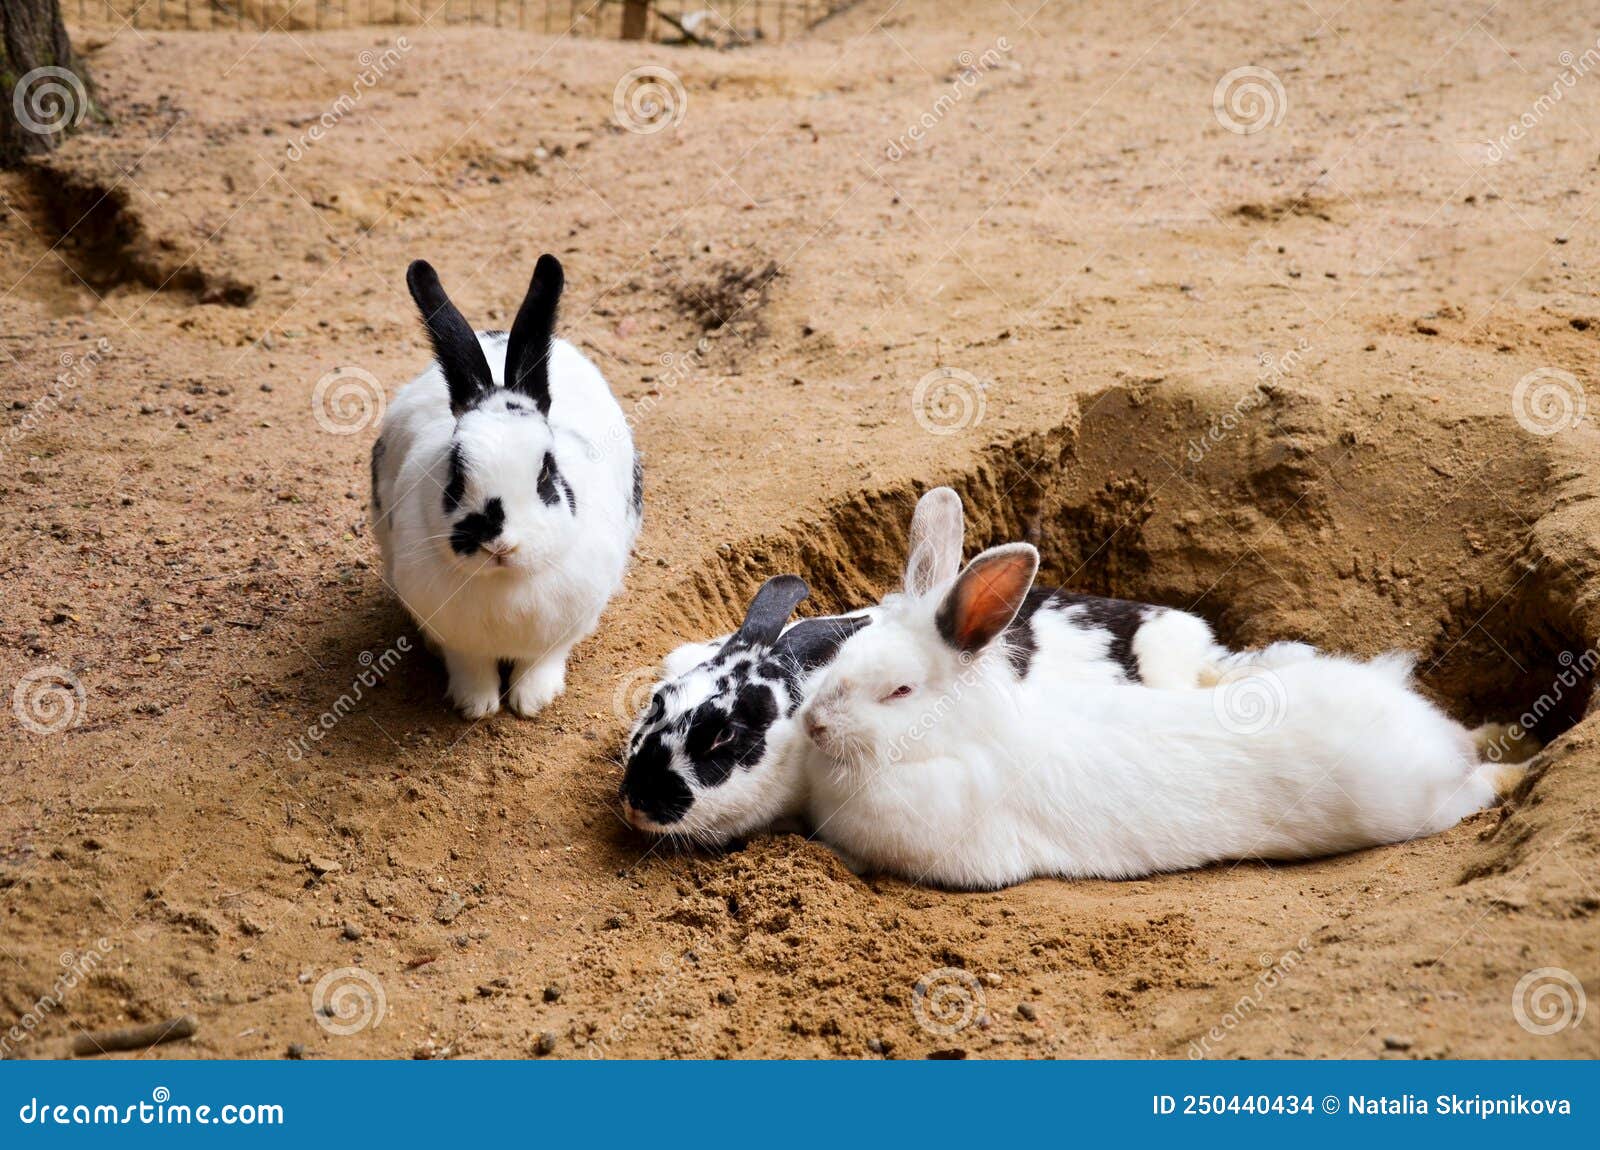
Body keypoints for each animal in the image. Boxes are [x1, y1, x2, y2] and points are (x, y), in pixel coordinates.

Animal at [372, 256, 641, 719]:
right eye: (455, 474)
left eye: (546, 473)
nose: (498, 544)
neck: (504, 583)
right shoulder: (458, 639)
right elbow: (469, 665)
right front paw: (475, 705)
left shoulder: (563, 627)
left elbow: (542, 661)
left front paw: (532, 700)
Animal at [799, 541, 1523, 891]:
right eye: (843, 654)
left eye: (899, 691)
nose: (812, 726)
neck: (948, 742)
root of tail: (1423, 733)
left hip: (1418, 806)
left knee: (1479, 786)